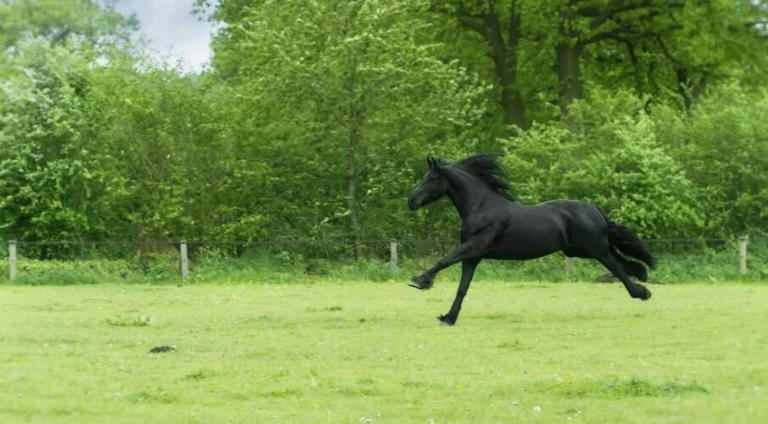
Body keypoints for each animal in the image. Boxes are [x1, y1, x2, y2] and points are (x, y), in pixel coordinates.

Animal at [407, 153, 656, 325]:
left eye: (431, 178)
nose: (411, 201)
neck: (481, 208)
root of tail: (595, 209)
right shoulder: (473, 256)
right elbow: (462, 287)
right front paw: (448, 318)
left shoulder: (473, 247)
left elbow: (444, 260)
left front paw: (419, 281)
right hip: (579, 250)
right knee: (622, 261)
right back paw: (643, 279)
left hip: (594, 248)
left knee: (616, 266)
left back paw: (641, 293)